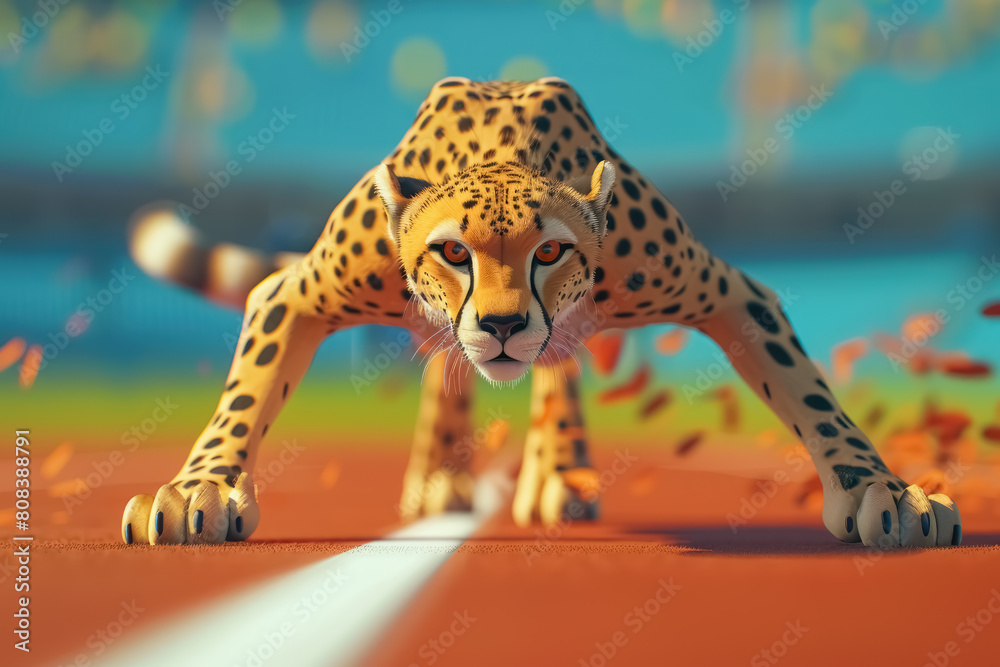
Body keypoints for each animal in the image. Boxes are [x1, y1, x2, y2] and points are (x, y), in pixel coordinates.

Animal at [122, 77, 961, 549]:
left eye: (551, 251)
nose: (500, 325)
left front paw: (886, 494)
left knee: (556, 366)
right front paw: (198, 491)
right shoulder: (294, 293)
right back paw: (441, 479)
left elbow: (812, 397)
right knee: (448, 370)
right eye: (451, 251)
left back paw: (558, 471)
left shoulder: (728, 293)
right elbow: (245, 397)